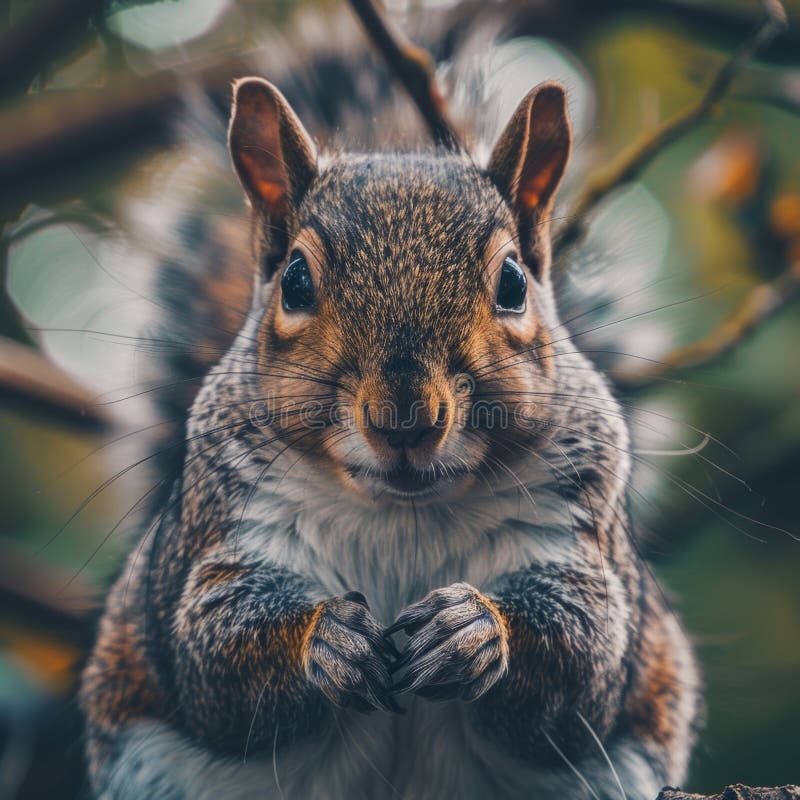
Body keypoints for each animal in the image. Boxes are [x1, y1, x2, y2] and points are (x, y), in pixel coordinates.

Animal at [79, 31, 700, 800]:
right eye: (295, 280)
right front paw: (323, 639)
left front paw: (477, 631)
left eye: (513, 283)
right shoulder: (220, 542)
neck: (405, 513)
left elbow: (587, 664)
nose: (405, 417)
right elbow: (211, 657)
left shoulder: (580, 539)